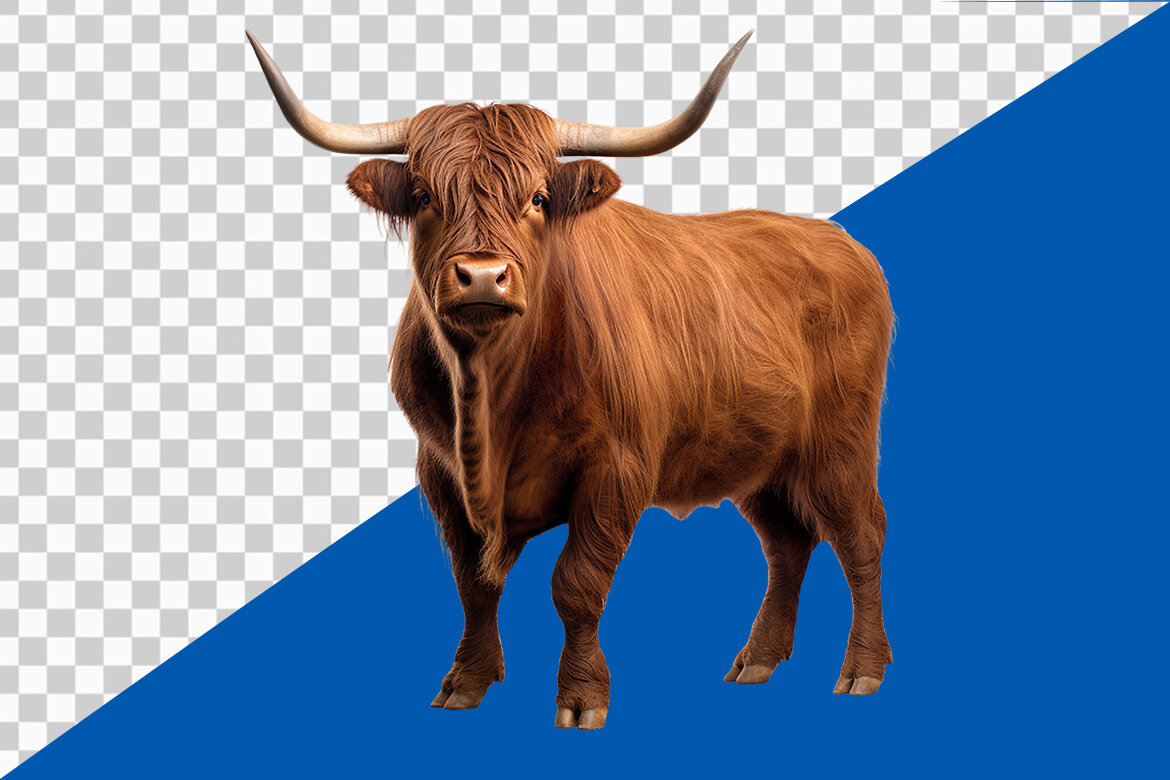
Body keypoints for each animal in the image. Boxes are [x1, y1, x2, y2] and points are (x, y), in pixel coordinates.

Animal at [248, 30, 894, 730]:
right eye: (422, 196)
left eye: (537, 198)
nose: (482, 276)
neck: (488, 402)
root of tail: (840, 239)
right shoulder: (438, 471)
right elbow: (473, 585)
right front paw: (466, 683)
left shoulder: (615, 468)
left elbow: (576, 583)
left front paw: (582, 698)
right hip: (758, 459)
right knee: (787, 544)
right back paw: (757, 661)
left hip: (841, 445)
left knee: (861, 537)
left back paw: (861, 670)